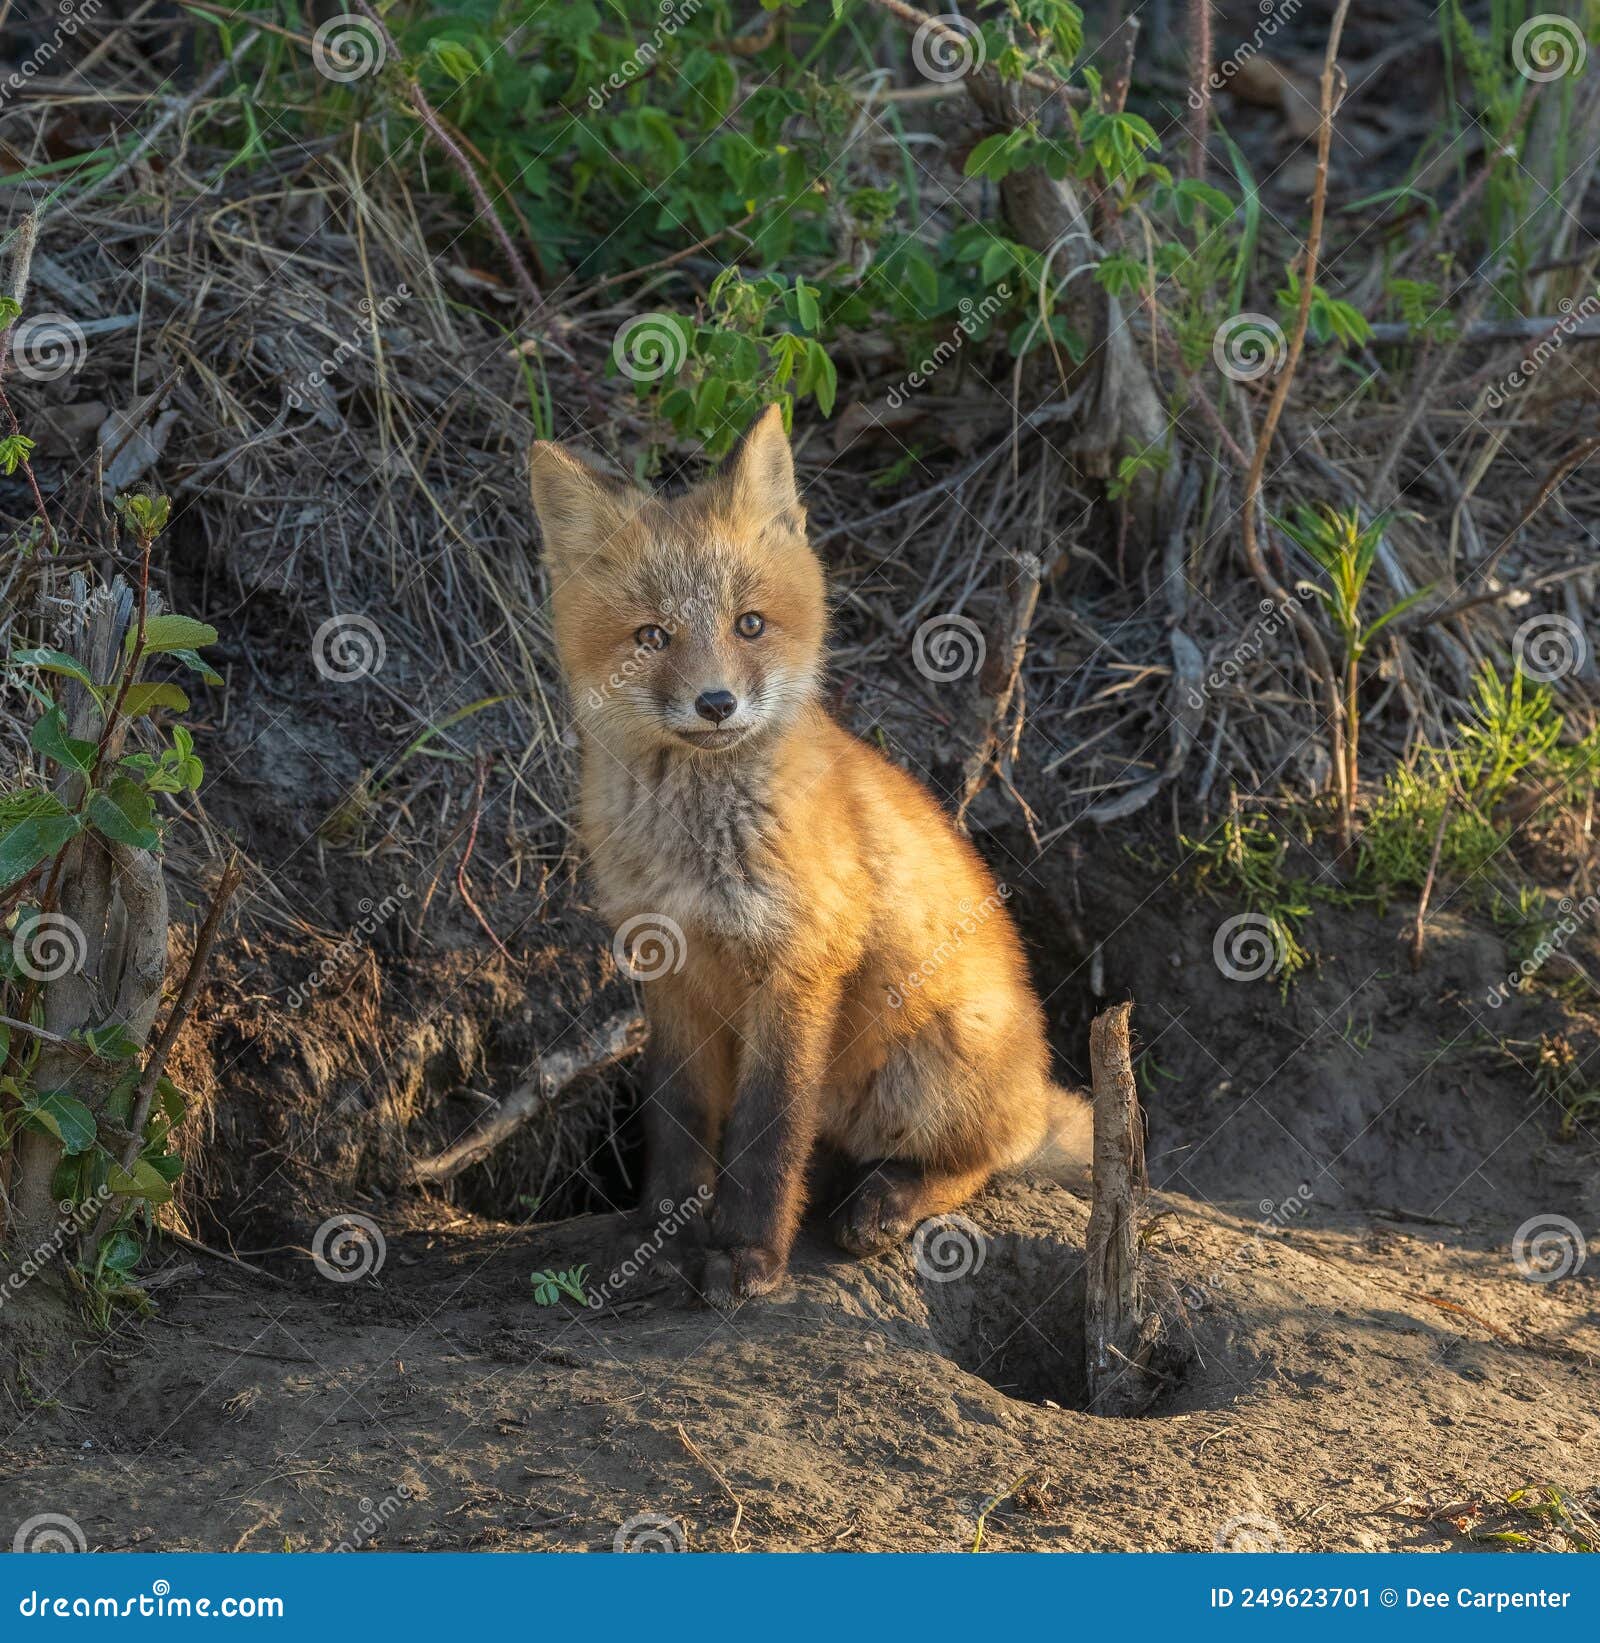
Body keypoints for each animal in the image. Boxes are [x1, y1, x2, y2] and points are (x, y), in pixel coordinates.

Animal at [528, 405, 1091, 1304]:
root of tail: (1032, 1077)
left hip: (926, 1064)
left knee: (985, 1157)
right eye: (653, 636)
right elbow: (679, 1120)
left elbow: (768, 1130)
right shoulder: (667, 972)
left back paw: (887, 1201)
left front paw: (750, 1256)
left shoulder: (797, 965)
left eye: (749, 624)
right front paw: (660, 1238)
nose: (716, 702)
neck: (698, 853)